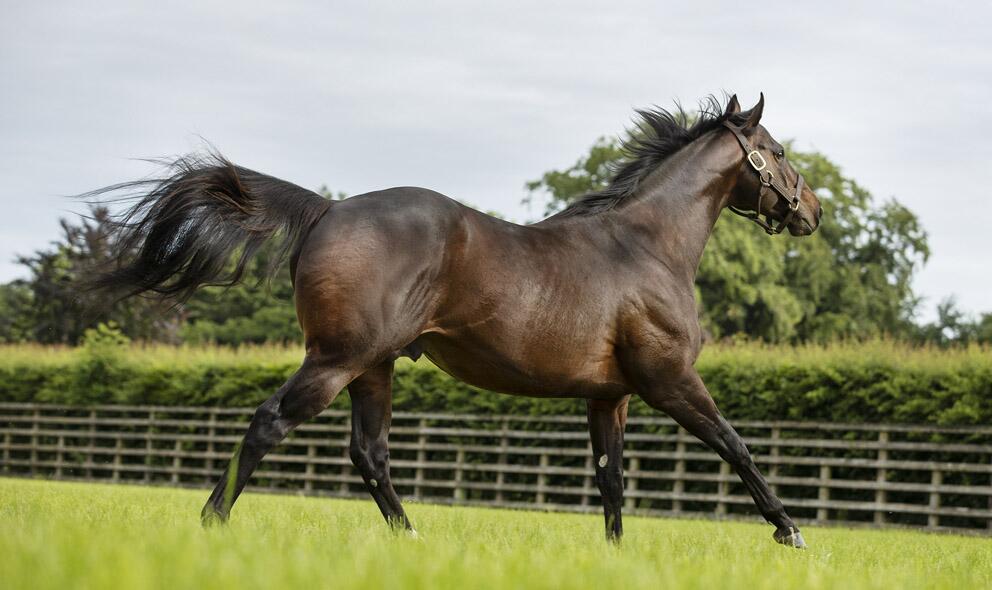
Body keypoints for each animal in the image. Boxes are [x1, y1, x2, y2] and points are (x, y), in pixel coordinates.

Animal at [90, 94, 822, 549]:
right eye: (779, 151)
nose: (811, 212)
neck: (644, 244)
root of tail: (327, 210)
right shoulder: (669, 380)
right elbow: (734, 444)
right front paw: (789, 530)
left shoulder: (609, 395)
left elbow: (611, 479)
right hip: (335, 360)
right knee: (272, 424)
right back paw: (212, 523)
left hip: (373, 368)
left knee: (369, 452)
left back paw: (410, 536)